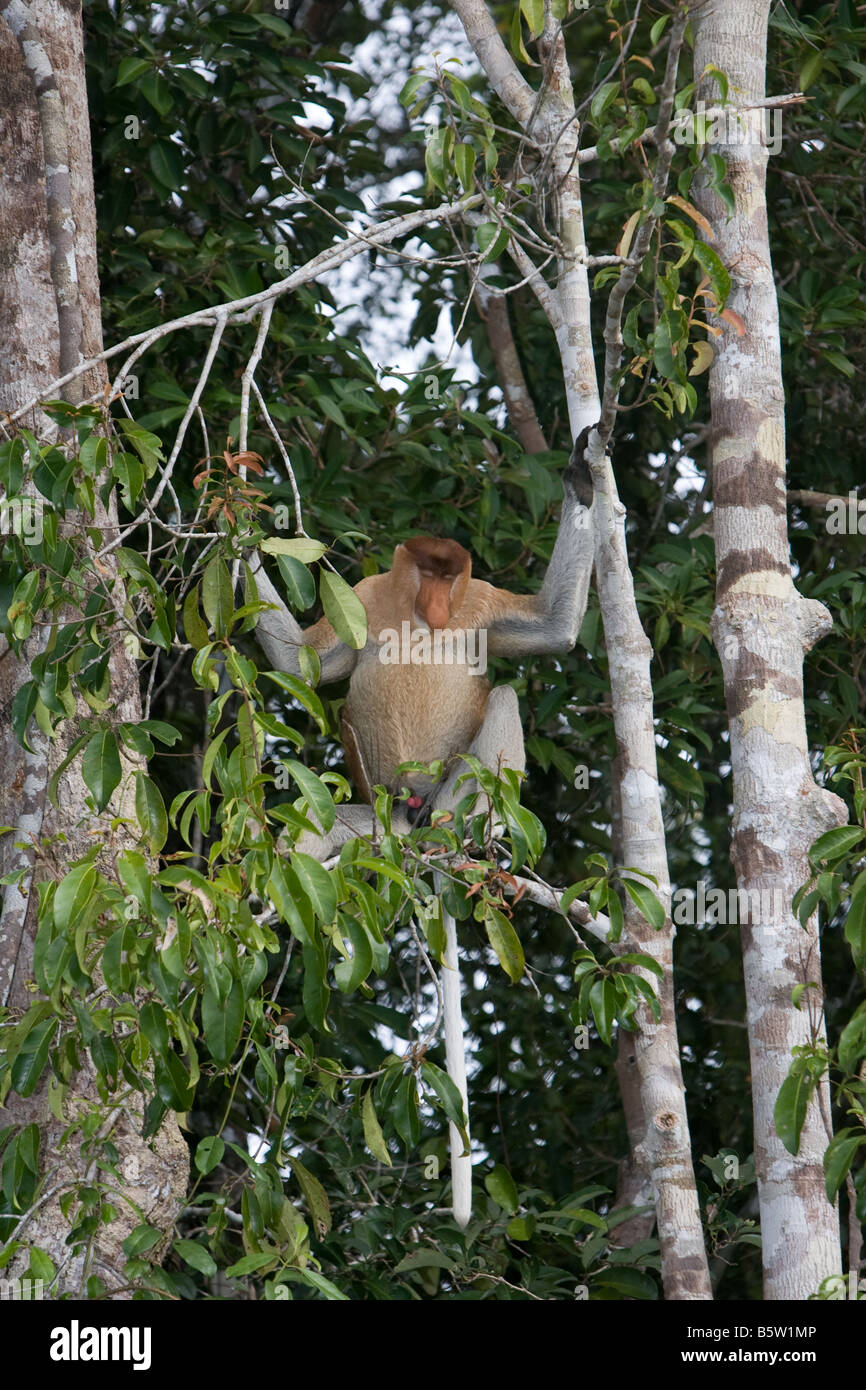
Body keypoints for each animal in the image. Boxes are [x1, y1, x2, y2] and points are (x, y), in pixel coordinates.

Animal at [248, 443, 594, 1227]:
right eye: (425, 572)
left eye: (450, 575)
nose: (436, 608)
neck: (414, 606)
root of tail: (408, 823)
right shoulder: (365, 593)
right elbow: (305, 665)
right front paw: (232, 528)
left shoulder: (483, 603)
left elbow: (553, 629)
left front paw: (585, 475)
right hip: (372, 817)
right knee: (325, 817)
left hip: (451, 799)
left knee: (504, 697)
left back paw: (460, 848)